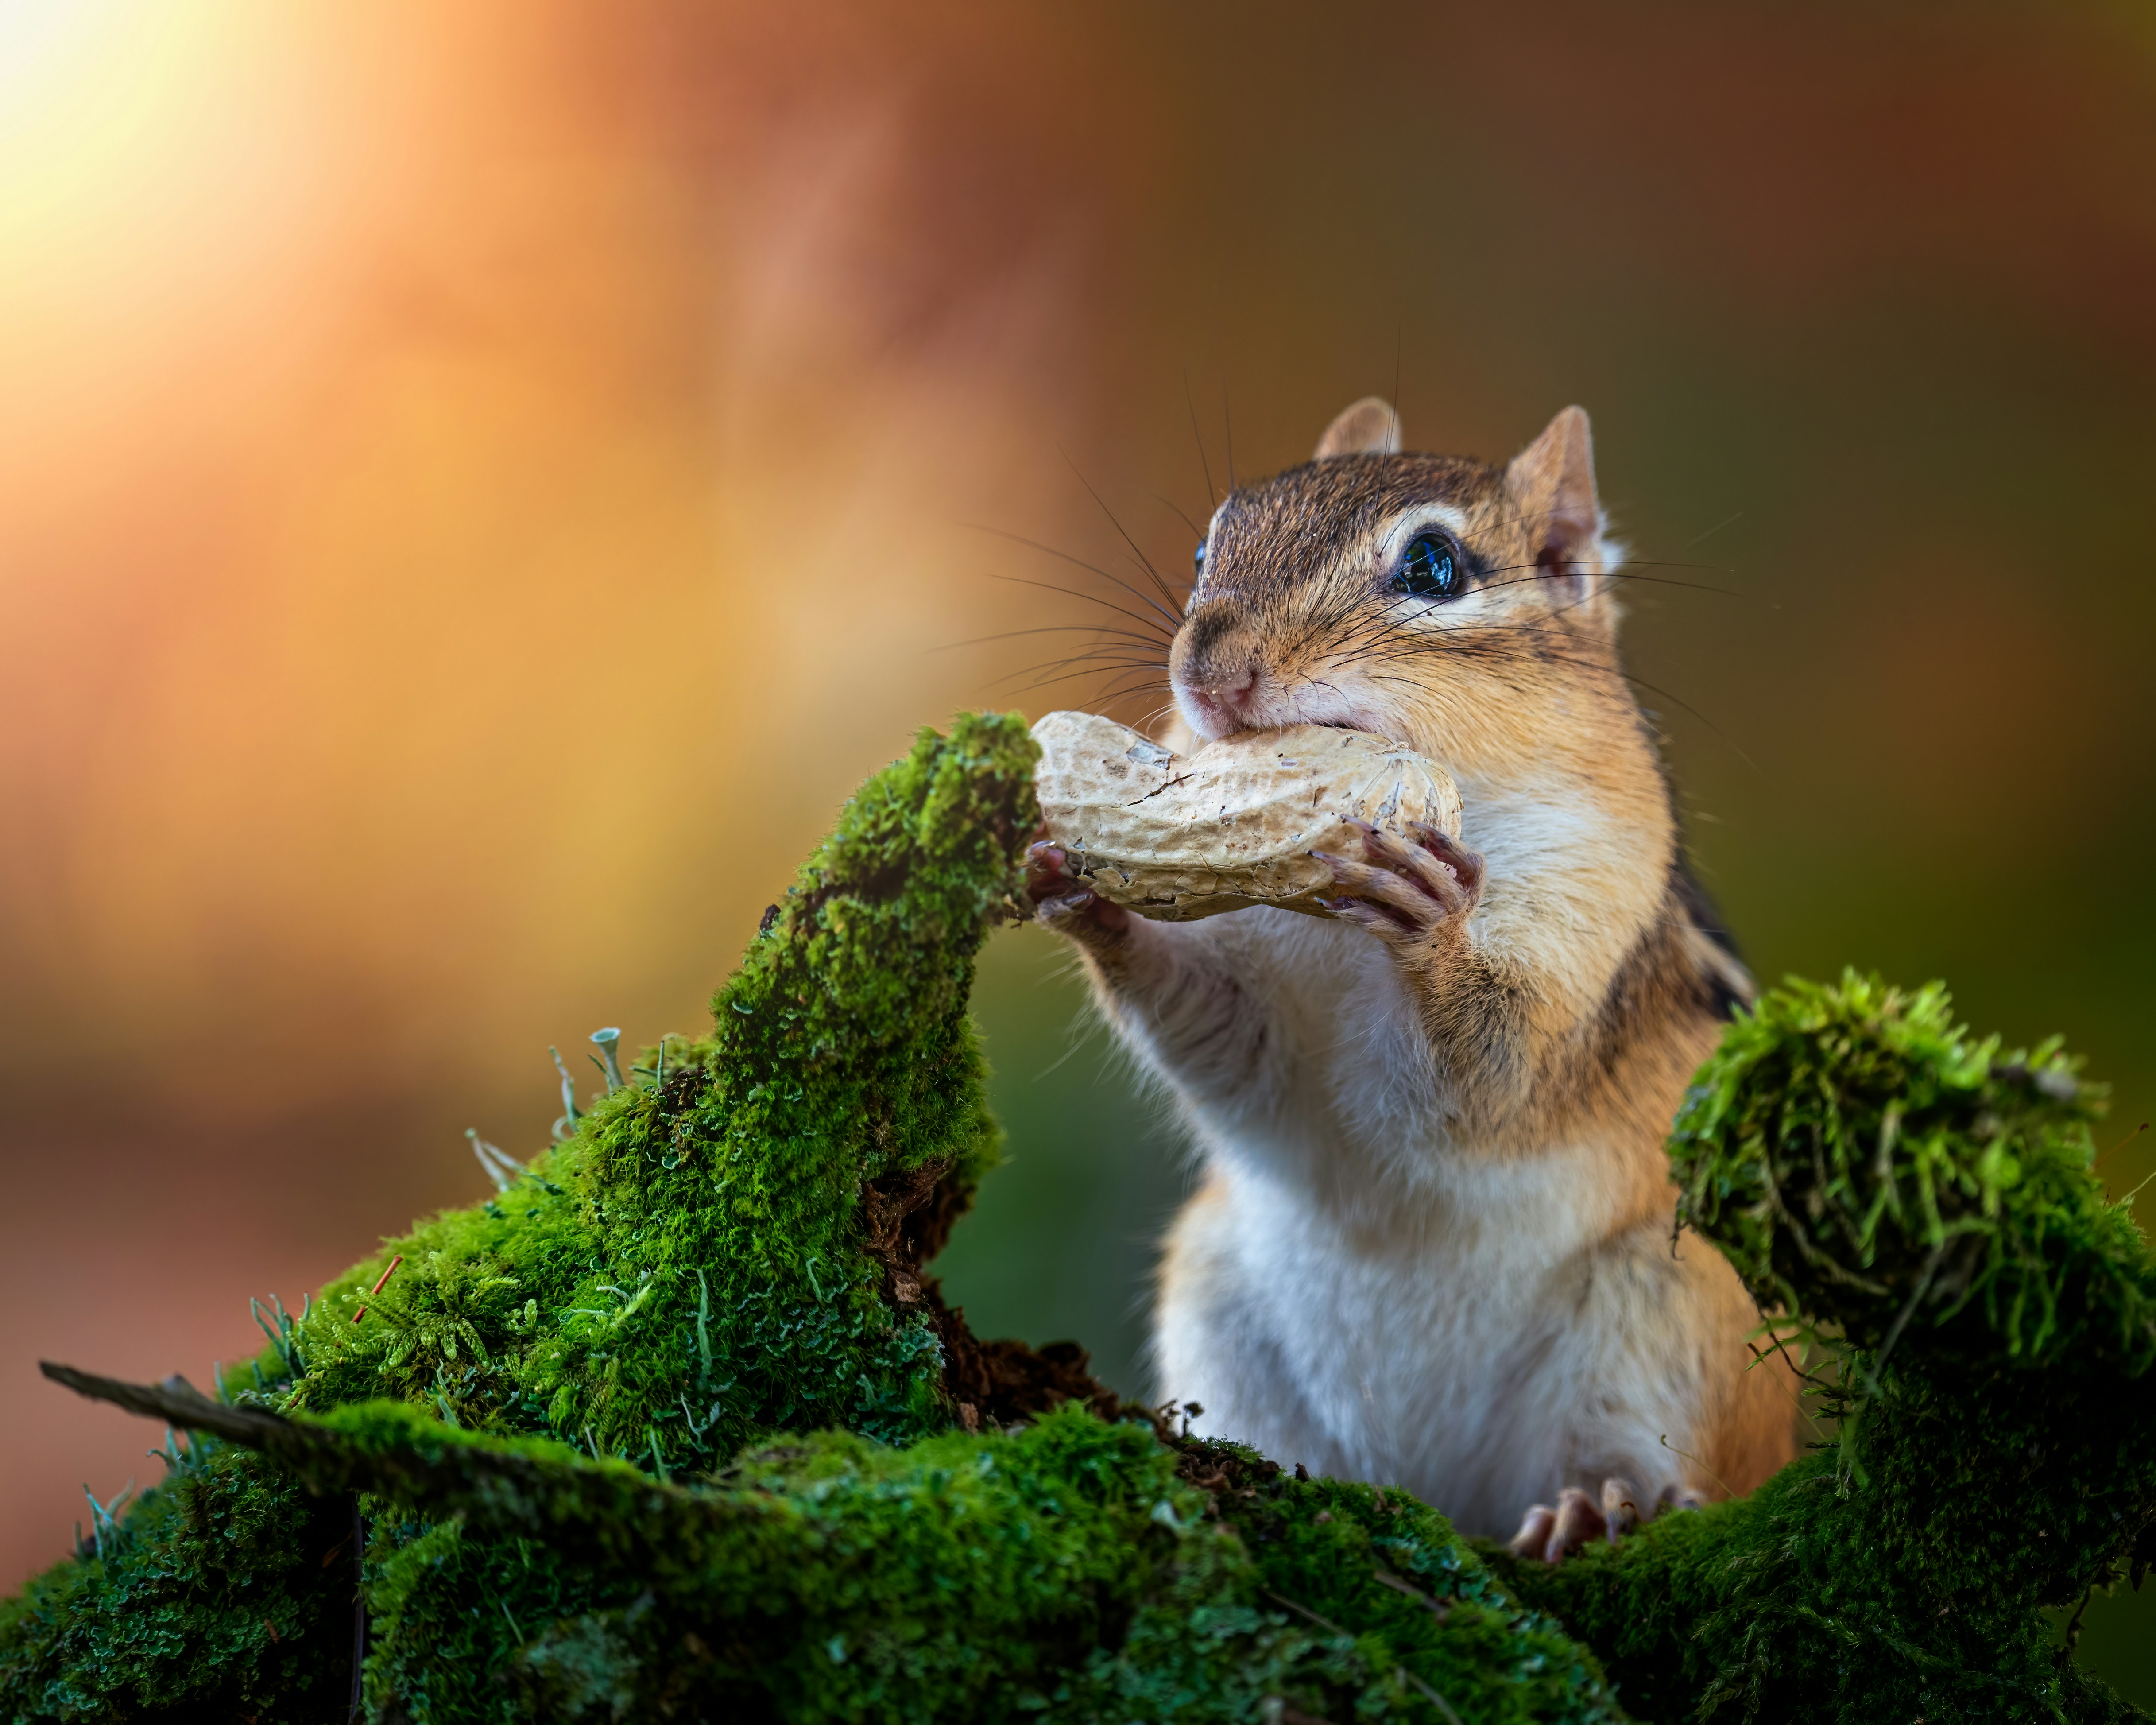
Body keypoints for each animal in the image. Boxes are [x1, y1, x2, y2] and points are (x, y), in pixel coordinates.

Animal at [1025, 398, 1795, 1559]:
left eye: (1434, 567)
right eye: (1208, 546)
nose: (1208, 671)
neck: (1333, 924)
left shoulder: (1583, 926)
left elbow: (1486, 1083)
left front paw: (1434, 924)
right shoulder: (1254, 1022)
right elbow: (1227, 1049)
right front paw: (1080, 883)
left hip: (1670, 1312)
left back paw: (1592, 1505)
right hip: (1213, 1298)